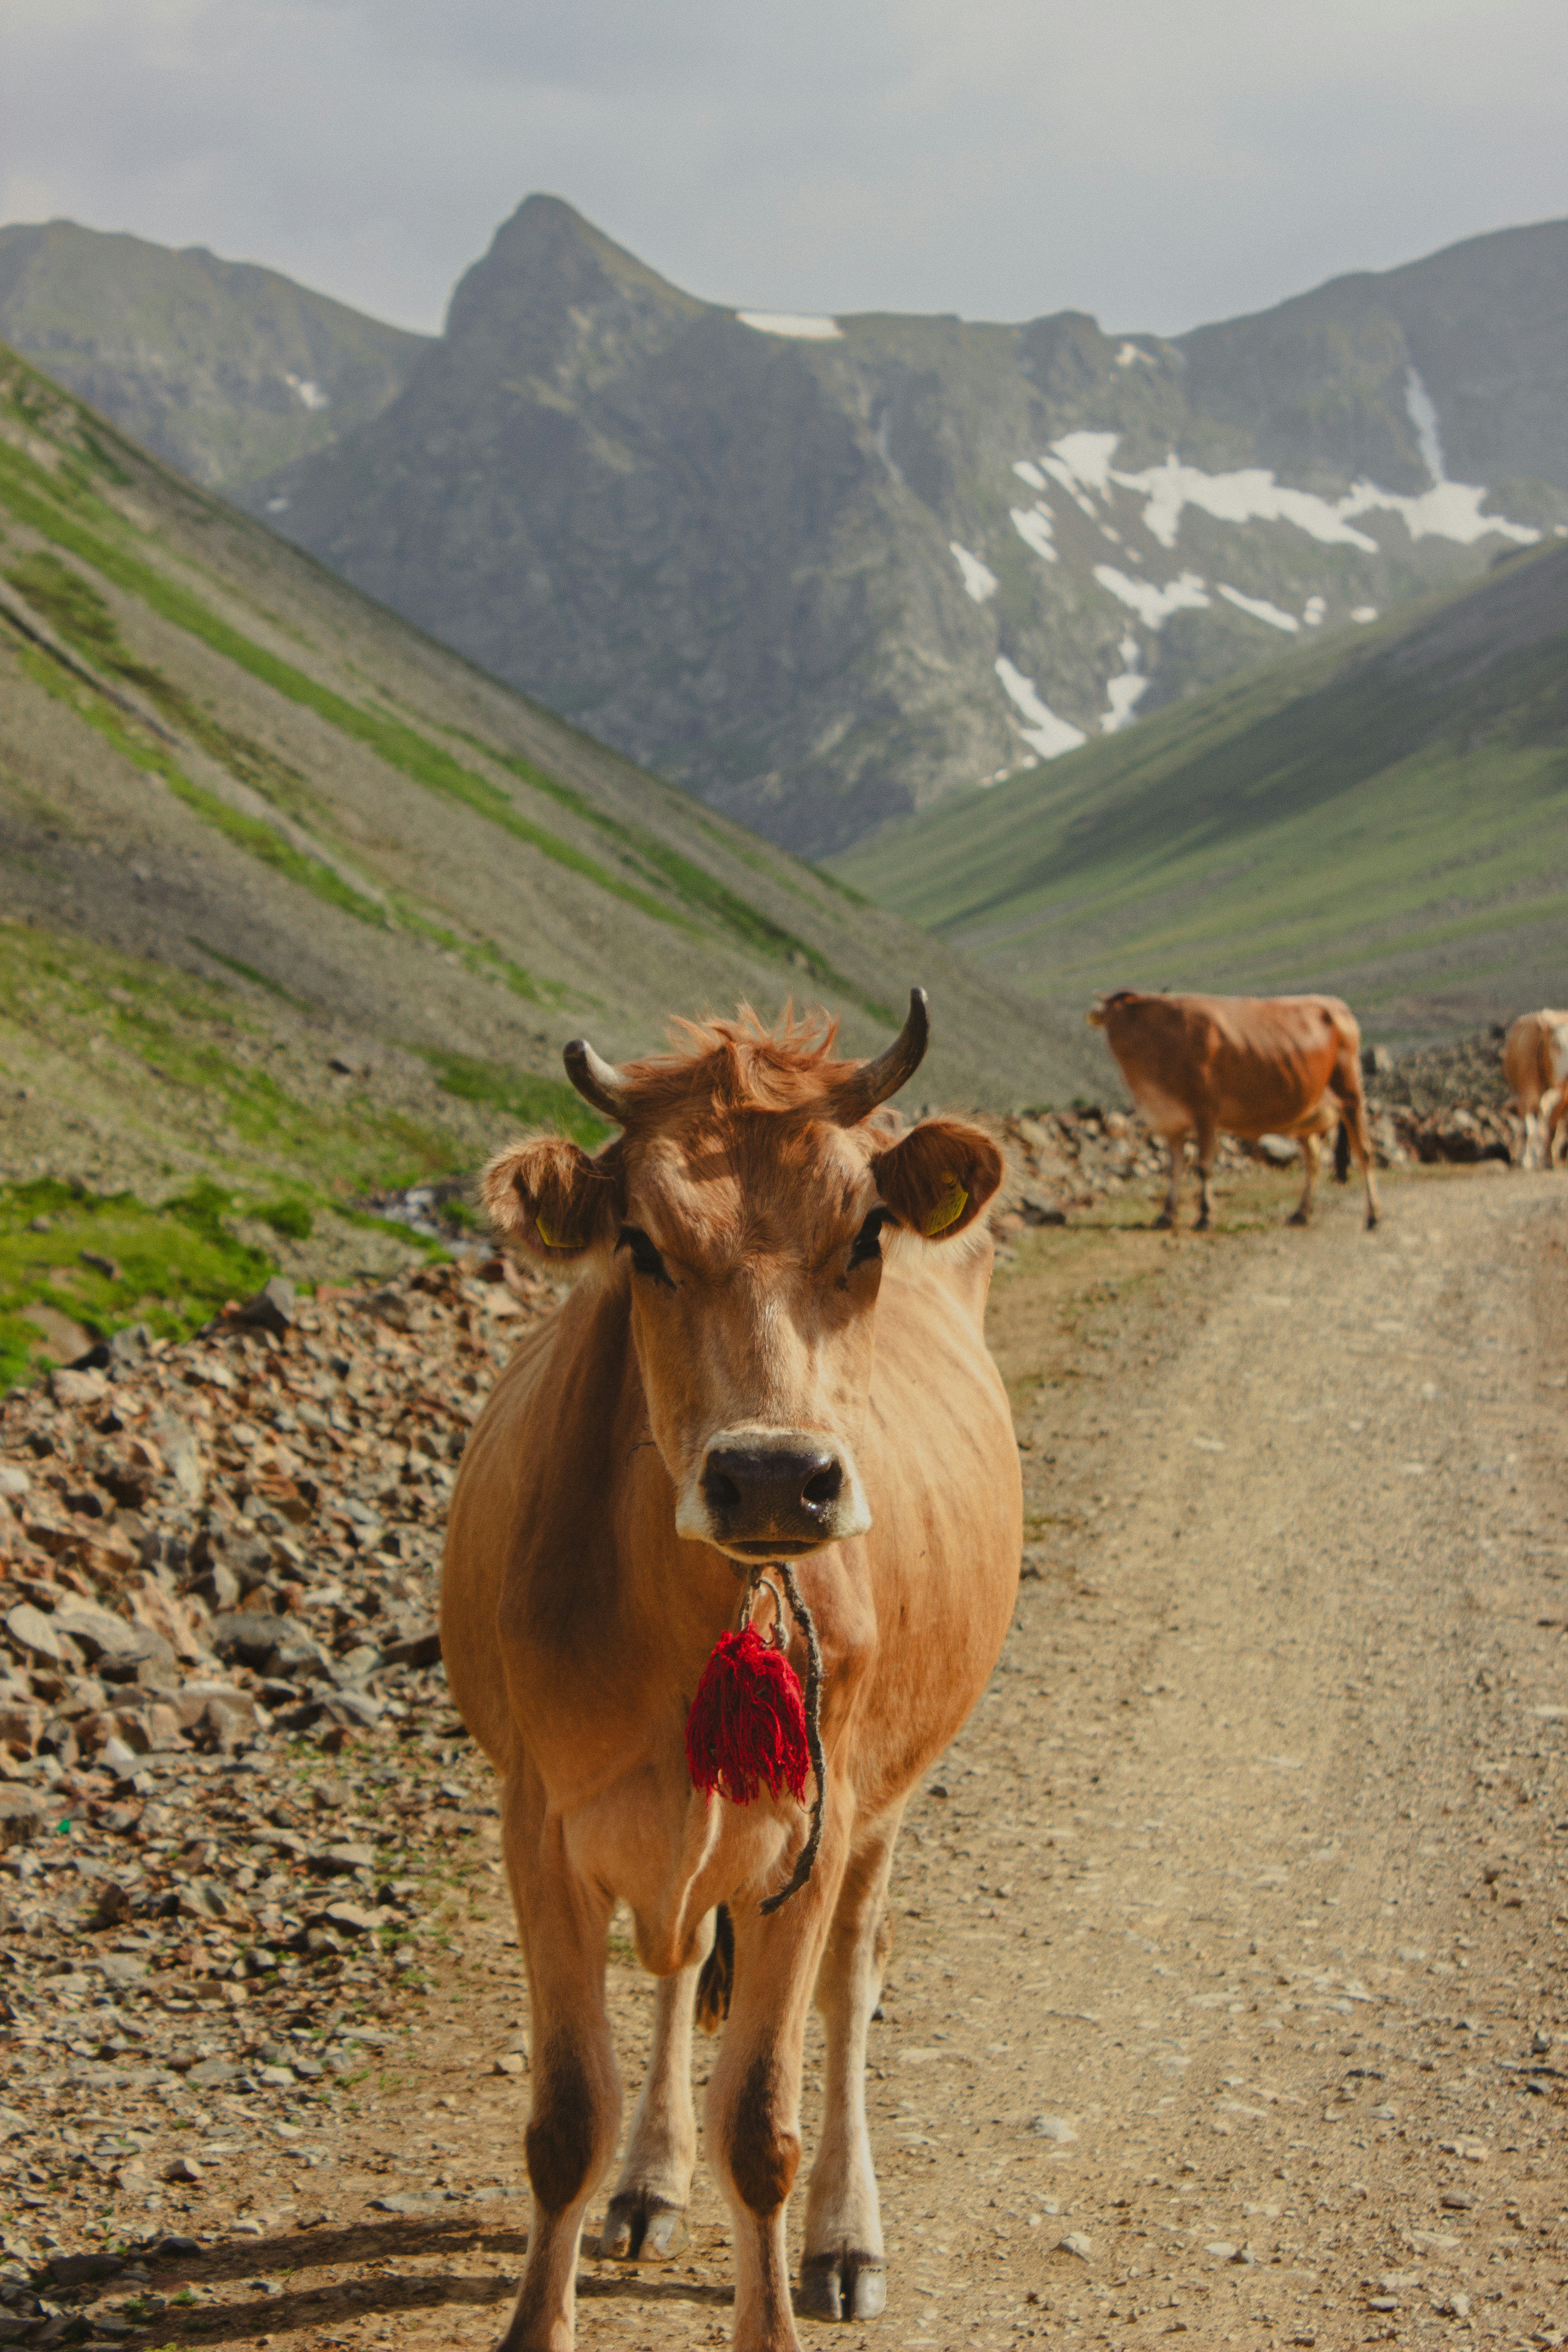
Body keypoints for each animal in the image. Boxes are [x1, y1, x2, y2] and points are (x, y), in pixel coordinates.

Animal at [440, 994, 1022, 2352]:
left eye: (865, 1231)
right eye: (641, 1245)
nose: (770, 1476)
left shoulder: (816, 1817)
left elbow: (761, 2122)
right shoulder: (540, 1823)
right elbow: (567, 2122)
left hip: (882, 1803)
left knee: (854, 1978)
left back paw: (846, 2235)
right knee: (677, 1959)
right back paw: (652, 2182)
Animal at [1087, 989, 1381, 1231]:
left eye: (1129, 1021)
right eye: (1111, 1023)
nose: (1121, 1047)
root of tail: (1336, 1004)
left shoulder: (1205, 1112)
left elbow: (1204, 1167)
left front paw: (1205, 1216)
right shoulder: (1170, 1121)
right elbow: (1174, 1168)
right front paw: (1166, 1216)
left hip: (1350, 1093)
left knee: (1364, 1153)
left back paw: (1373, 1216)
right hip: (1306, 1112)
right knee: (1313, 1160)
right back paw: (1301, 1213)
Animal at [1503, 1009, 1568, 1169]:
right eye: (1555, 1045)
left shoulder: (1561, 1101)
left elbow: (1553, 1130)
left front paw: (1551, 1159)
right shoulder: (1528, 1099)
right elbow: (1531, 1131)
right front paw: (1529, 1161)